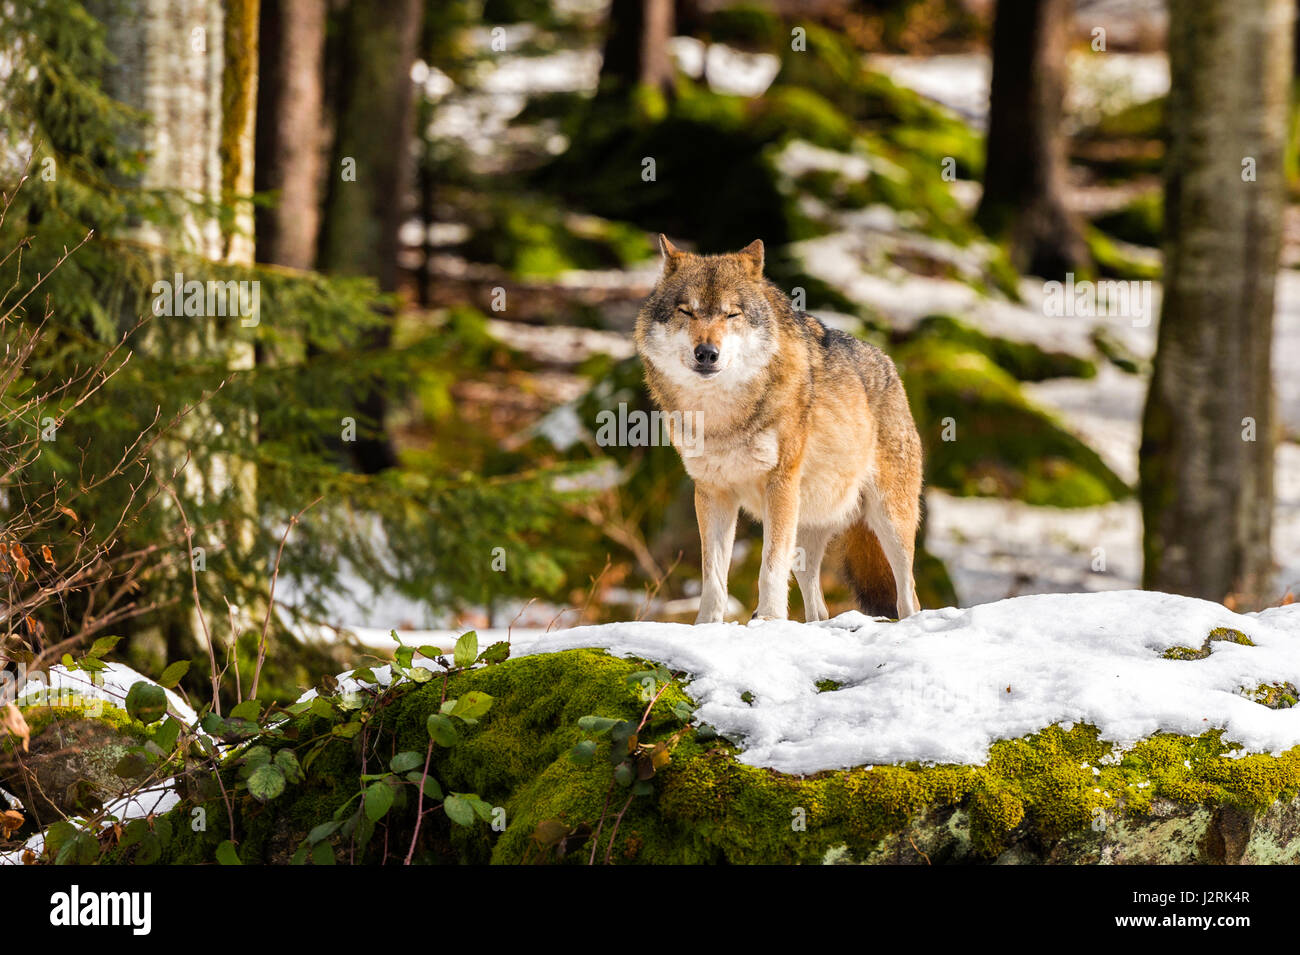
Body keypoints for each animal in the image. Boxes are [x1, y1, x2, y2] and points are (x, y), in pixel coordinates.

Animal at [634, 236, 923, 623]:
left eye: (732, 314)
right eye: (687, 311)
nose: (706, 353)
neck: (723, 417)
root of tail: (889, 363)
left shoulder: (780, 484)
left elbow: (769, 568)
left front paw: (768, 620)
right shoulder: (712, 493)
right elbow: (713, 577)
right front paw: (706, 625)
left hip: (889, 519)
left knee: (908, 593)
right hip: (805, 529)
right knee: (817, 602)